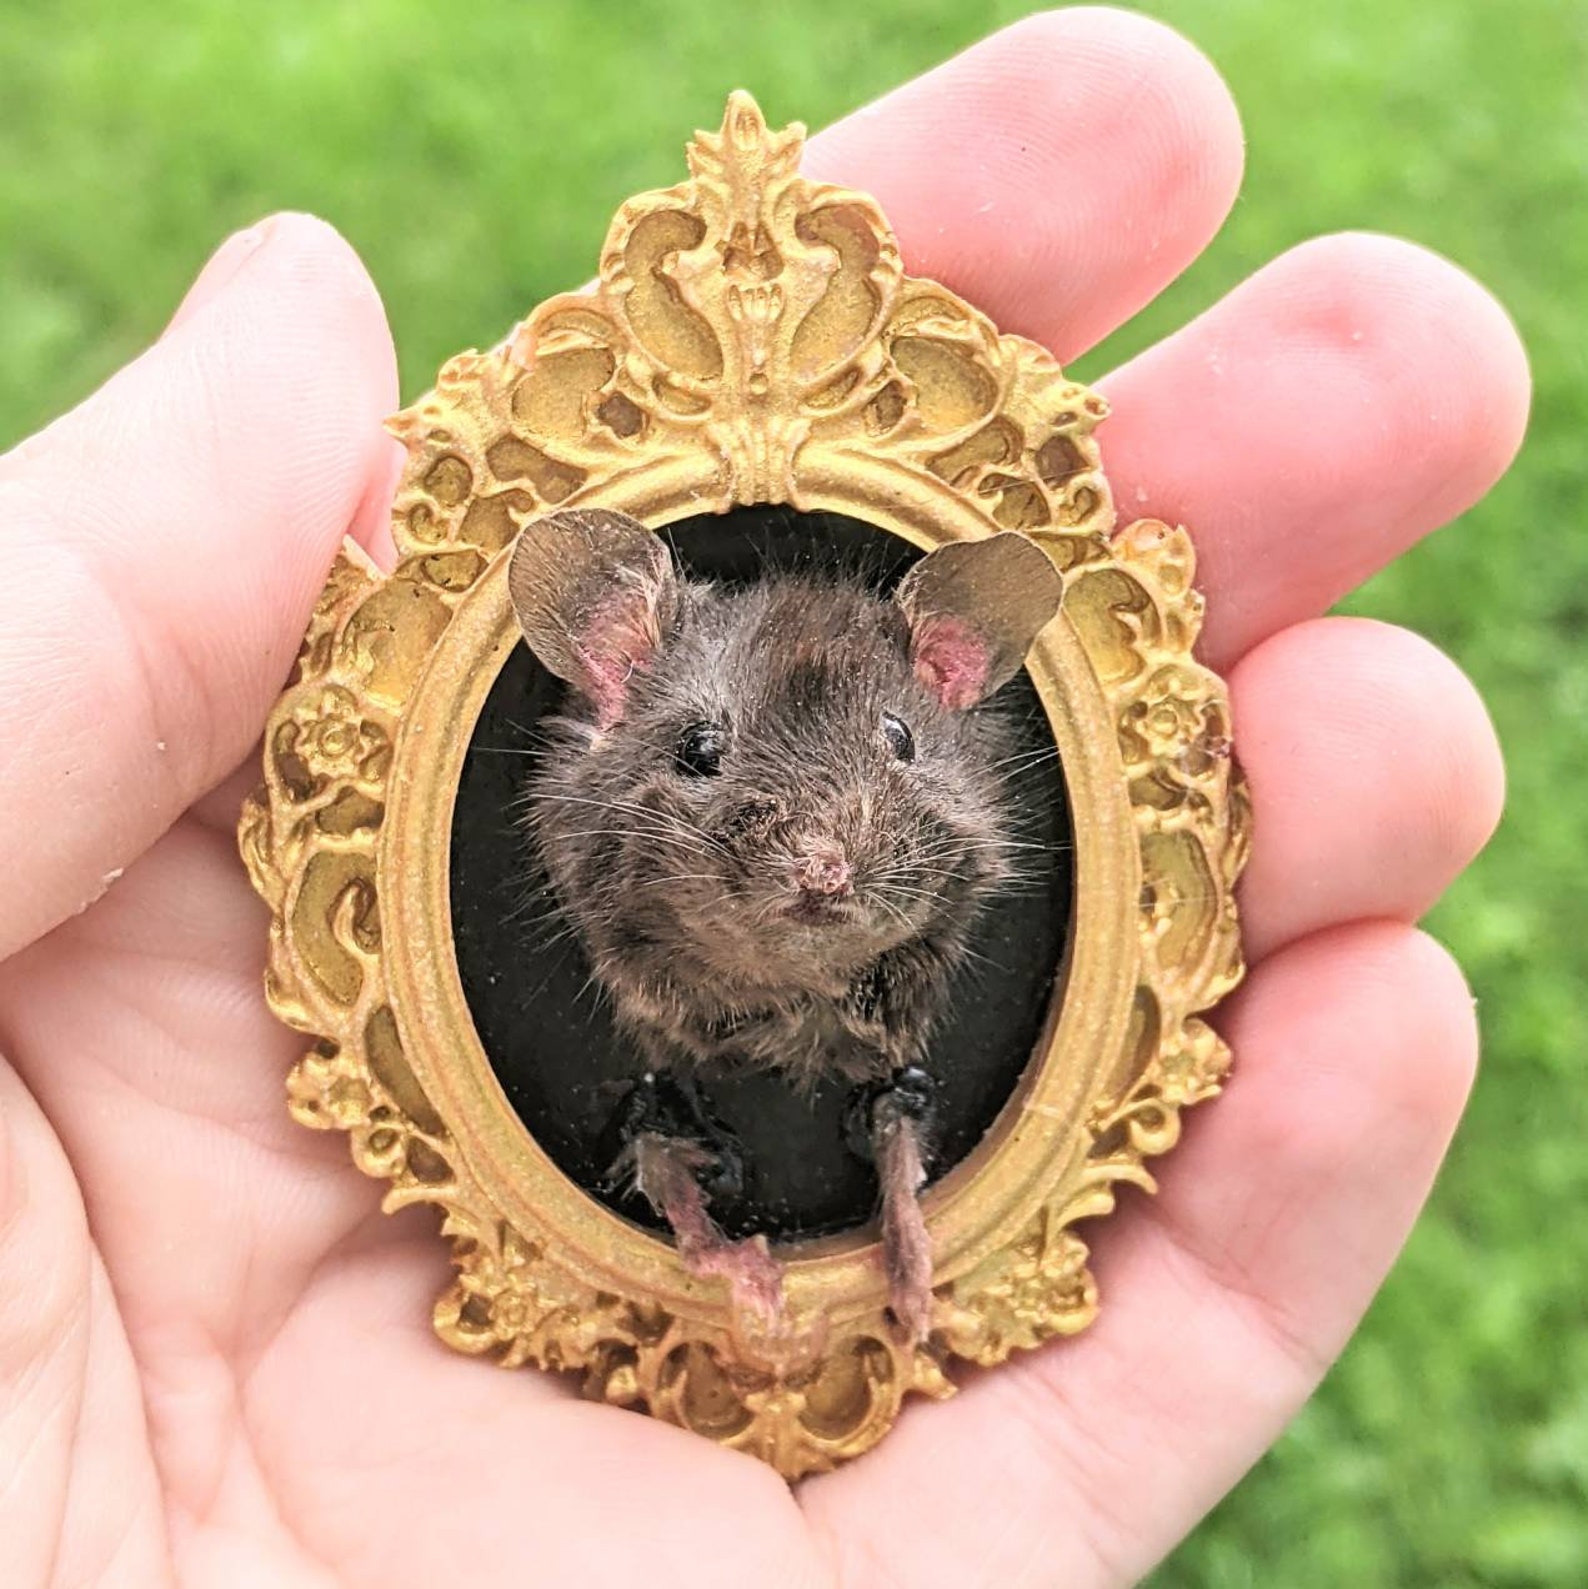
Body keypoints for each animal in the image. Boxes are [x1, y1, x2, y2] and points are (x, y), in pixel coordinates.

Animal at [507, 508, 1063, 1340]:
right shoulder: (650, 1062)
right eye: (699, 748)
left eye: (900, 737)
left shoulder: (895, 1063)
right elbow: (663, 1161)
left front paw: (916, 1297)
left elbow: (899, 1144)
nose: (823, 872)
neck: (790, 994)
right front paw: (758, 1292)